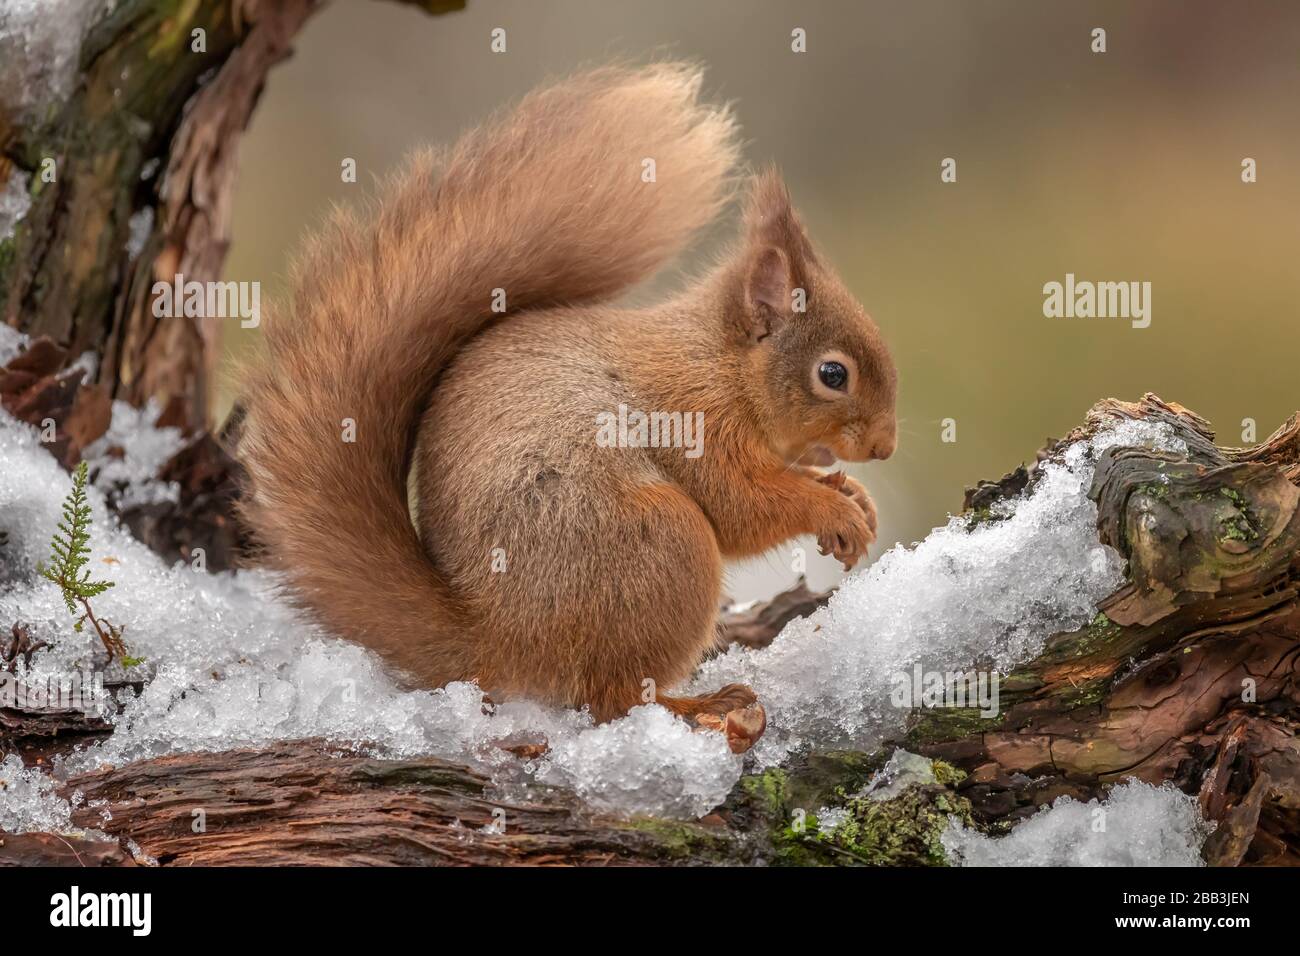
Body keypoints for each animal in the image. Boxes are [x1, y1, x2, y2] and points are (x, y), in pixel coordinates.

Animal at [240, 63, 897, 753]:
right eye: (832, 374)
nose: (884, 447)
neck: (722, 367)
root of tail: (497, 636)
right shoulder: (695, 421)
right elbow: (742, 506)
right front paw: (831, 508)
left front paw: (852, 496)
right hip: (663, 545)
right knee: (613, 698)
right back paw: (701, 706)